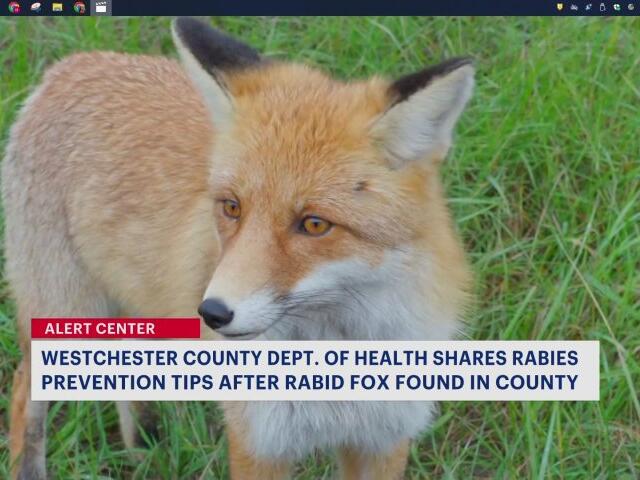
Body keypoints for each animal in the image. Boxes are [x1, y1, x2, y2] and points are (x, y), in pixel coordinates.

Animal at [3, 17, 474, 480]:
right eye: (232, 207)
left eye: (314, 224)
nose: (211, 313)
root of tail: (72, 65)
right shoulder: (259, 442)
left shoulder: (382, 440)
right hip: (65, 312)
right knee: (24, 394)